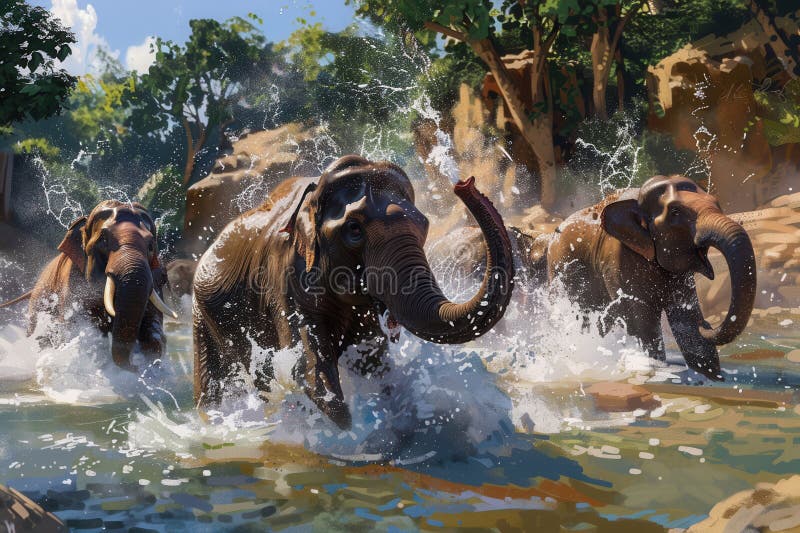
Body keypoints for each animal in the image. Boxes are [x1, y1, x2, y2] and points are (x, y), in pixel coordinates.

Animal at [0, 200, 177, 369]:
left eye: (150, 245)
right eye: (103, 240)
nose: (134, 366)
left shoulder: (153, 284)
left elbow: (153, 325)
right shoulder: (72, 280)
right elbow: (70, 327)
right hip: (38, 302)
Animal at [192, 155, 515, 429]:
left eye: (424, 224)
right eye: (354, 230)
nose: (464, 183)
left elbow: (372, 360)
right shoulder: (283, 280)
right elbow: (308, 369)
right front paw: (349, 434)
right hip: (202, 315)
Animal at [539, 174, 756, 379]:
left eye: (717, 203)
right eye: (676, 212)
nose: (707, 324)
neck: (638, 199)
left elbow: (685, 318)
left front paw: (713, 377)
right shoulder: (620, 258)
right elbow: (643, 322)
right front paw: (657, 370)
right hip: (560, 271)